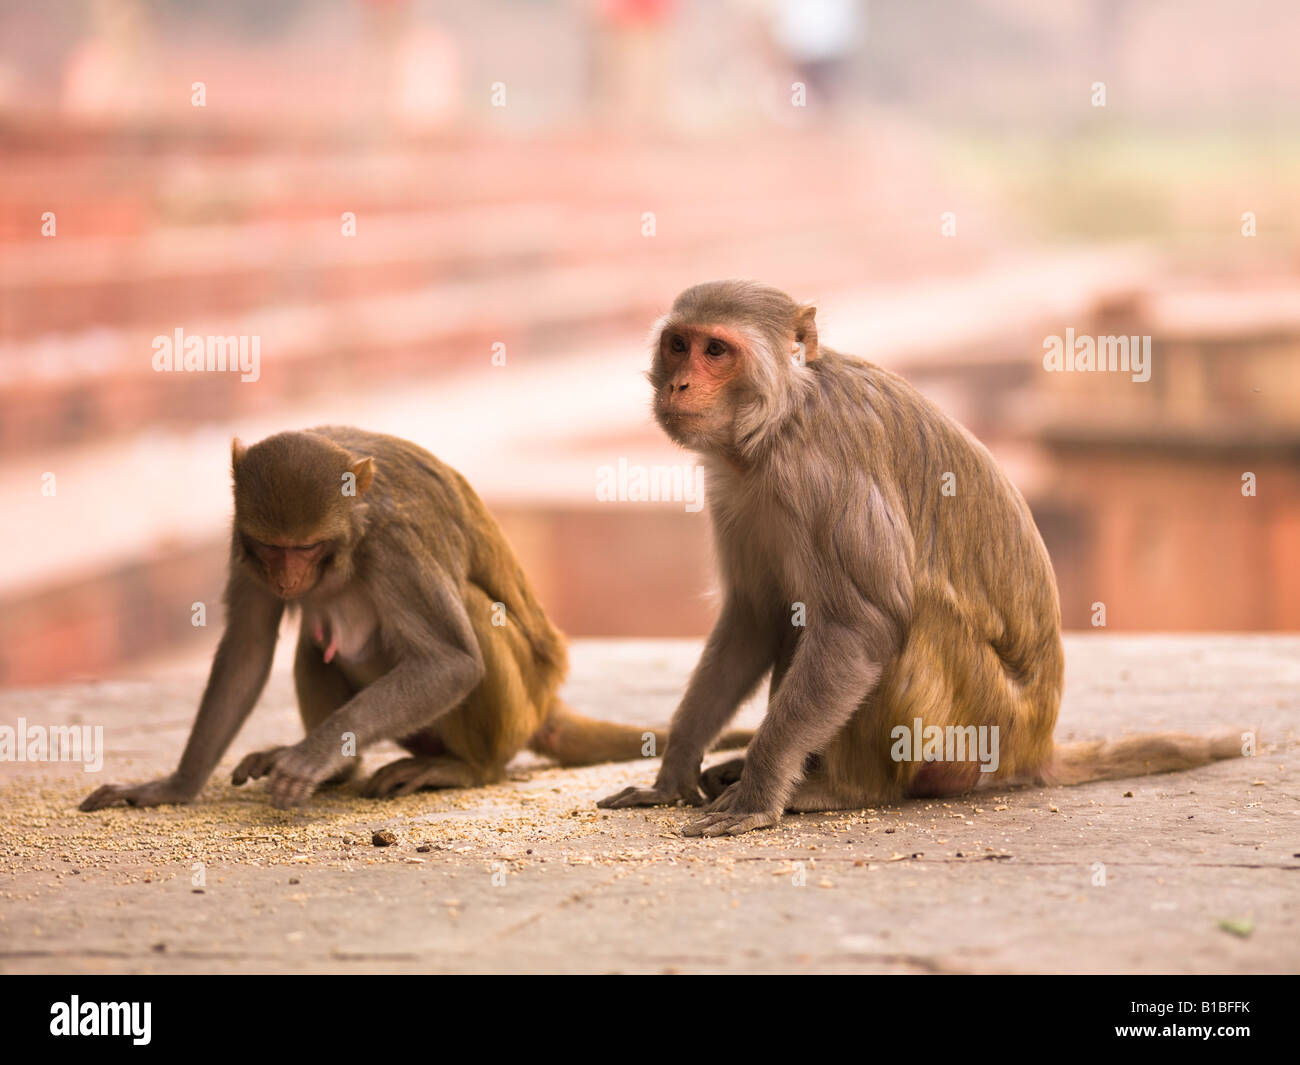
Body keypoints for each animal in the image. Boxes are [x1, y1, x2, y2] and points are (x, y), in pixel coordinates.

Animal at [81, 427, 746, 812]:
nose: (289, 580)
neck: (351, 535)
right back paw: (346, 766)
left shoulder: (394, 544)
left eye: (308, 548)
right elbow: (247, 649)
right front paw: (173, 787)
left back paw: (461, 769)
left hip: (516, 707)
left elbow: (451, 662)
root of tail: (546, 706)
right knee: (315, 643)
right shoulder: (240, 538)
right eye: (274, 548)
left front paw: (311, 756)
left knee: (474, 620)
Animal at [599, 280, 1249, 836]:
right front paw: (673, 772)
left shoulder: (822, 470)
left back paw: (839, 789)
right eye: (678, 345)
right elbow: (753, 620)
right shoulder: (732, 488)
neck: (776, 421)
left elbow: (862, 626)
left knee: (910, 615)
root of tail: (1036, 748)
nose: (678, 386)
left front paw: (759, 793)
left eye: (716, 349)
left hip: (981, 728)